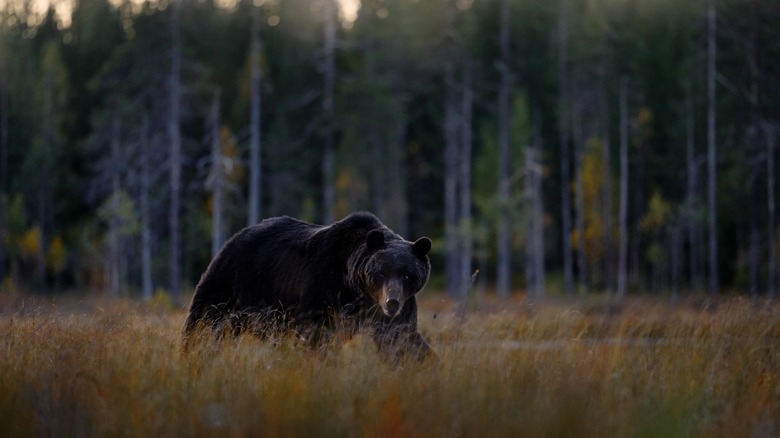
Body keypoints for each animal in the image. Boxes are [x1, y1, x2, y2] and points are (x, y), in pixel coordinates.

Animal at [183, 211, 434, 361]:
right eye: (381, 273)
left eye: (407, 275)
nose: (391, 302)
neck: (356, 289)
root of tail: (233, 237)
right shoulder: (324, 288)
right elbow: (316, 333)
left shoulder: (392, 312)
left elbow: (402, 340)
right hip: (234, 284)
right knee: (206, 320)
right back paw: (193, 352)